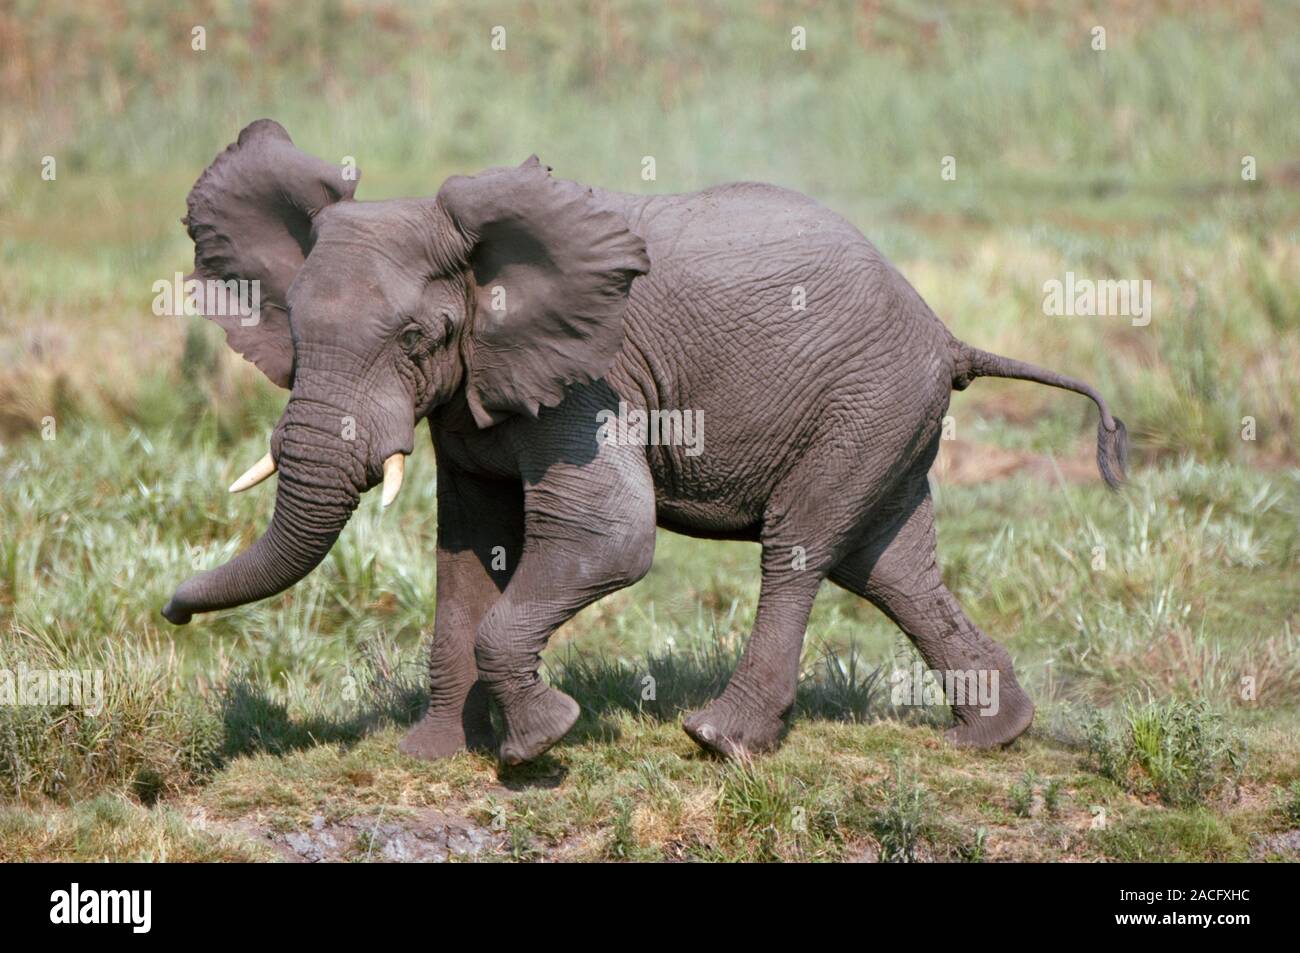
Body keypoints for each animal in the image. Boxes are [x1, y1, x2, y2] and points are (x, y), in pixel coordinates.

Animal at [161, 119, 1127, 764]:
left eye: (416, 338)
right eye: (294, 329)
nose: (171, 610)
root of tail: (947, 333)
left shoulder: (591, 378)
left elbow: (608, 535)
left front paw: (539, 744)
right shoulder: (476, 394)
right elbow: (468, 550)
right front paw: (429, 757)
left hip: (868, 399)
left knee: (803, 544)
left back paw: (720, 741)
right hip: (890, 414)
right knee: (889, 565)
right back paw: (993, 735)